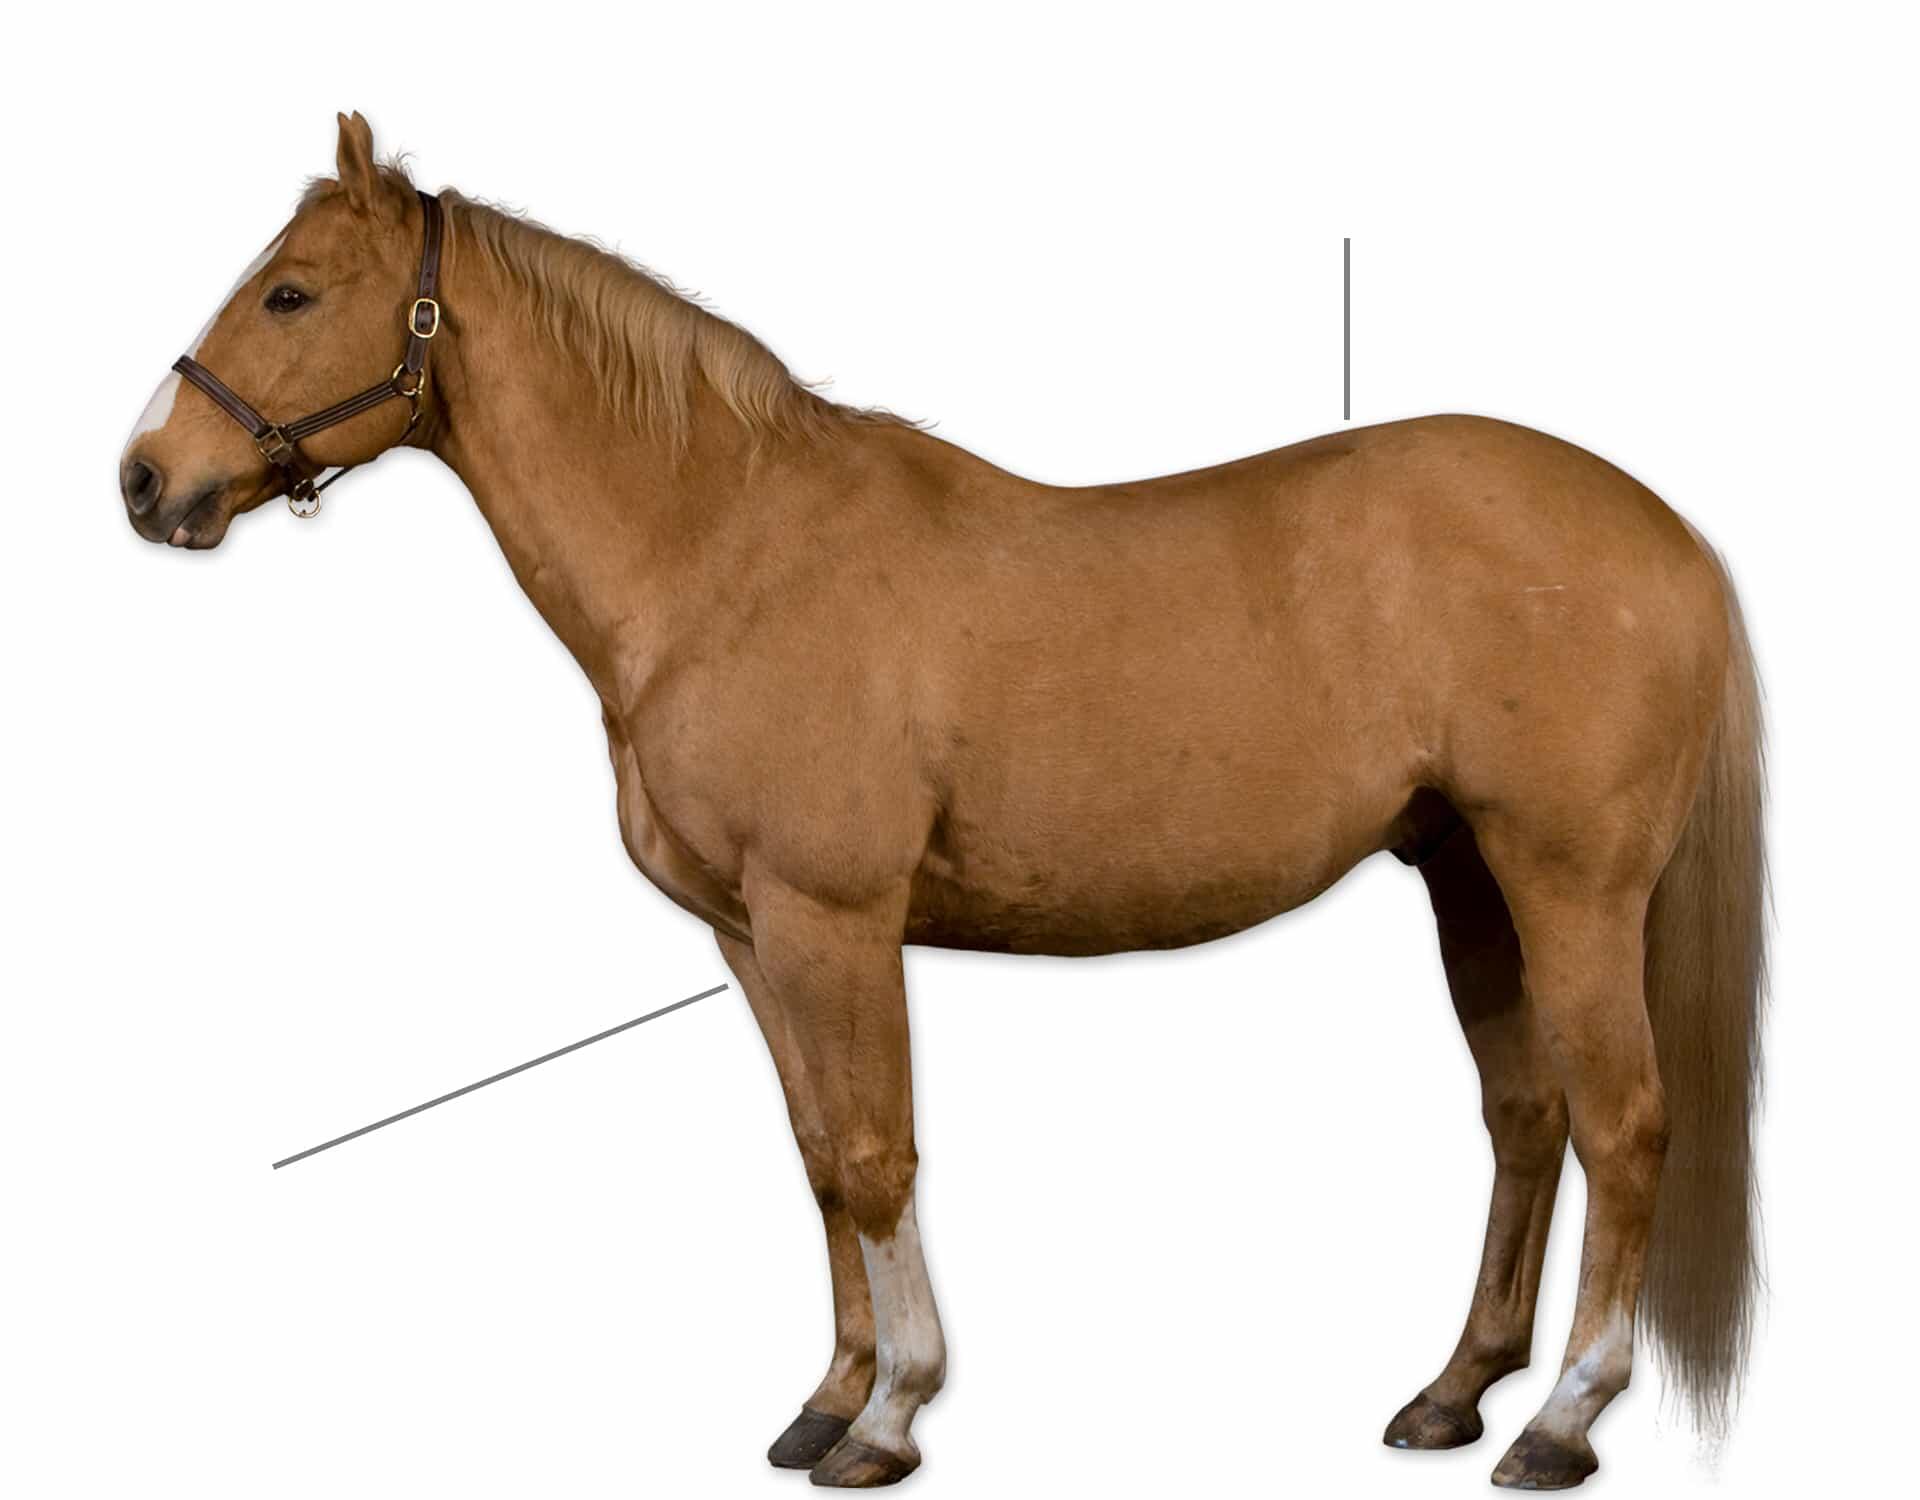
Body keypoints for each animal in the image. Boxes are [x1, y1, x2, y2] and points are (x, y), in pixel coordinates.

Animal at [119, 113, 1767, 1491]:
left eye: (290, 294)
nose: (145, 480)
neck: (725, 554)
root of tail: (1667, 533)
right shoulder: (753, 937)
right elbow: (817, 1159)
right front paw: (827, 1400)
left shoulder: (834, 920)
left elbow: (876, 1153)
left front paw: (895, 1416)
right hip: (1469, 876)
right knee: (1525, 1117)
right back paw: (1453, 1394)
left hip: (1570, 886)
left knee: (1623, 1123)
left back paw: (1560, 1422)